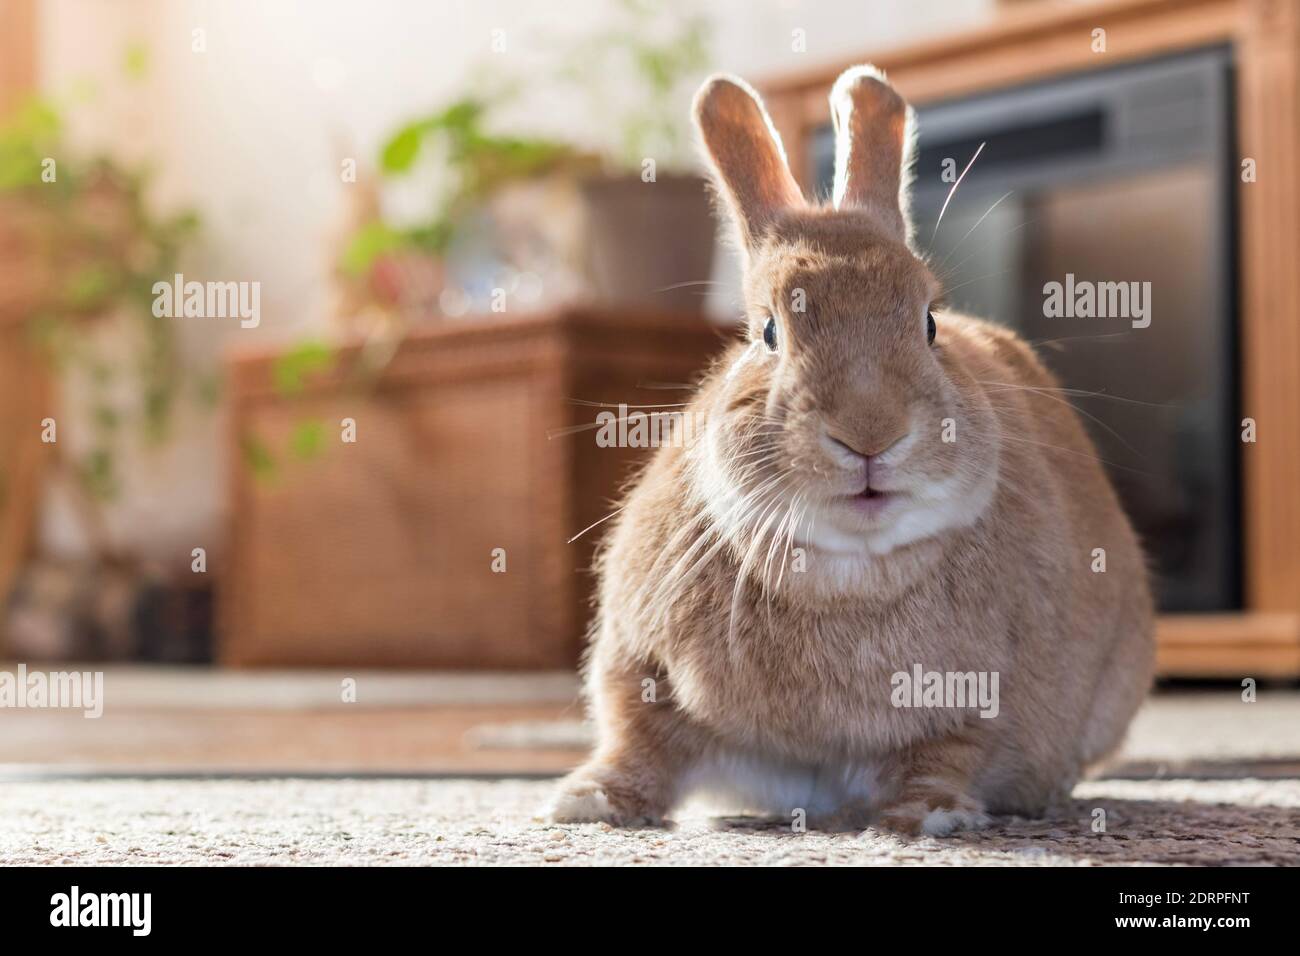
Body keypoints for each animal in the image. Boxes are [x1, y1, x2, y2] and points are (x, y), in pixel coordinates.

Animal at [548, 66, 1155, 836]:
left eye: (929, 322)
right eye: (768, 333)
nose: (871, 432)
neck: (848, 572)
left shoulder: (978, 704)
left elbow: (944, 755)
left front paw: (926, 816)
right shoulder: (639, 663)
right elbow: (638, 738)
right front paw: (587, 802)